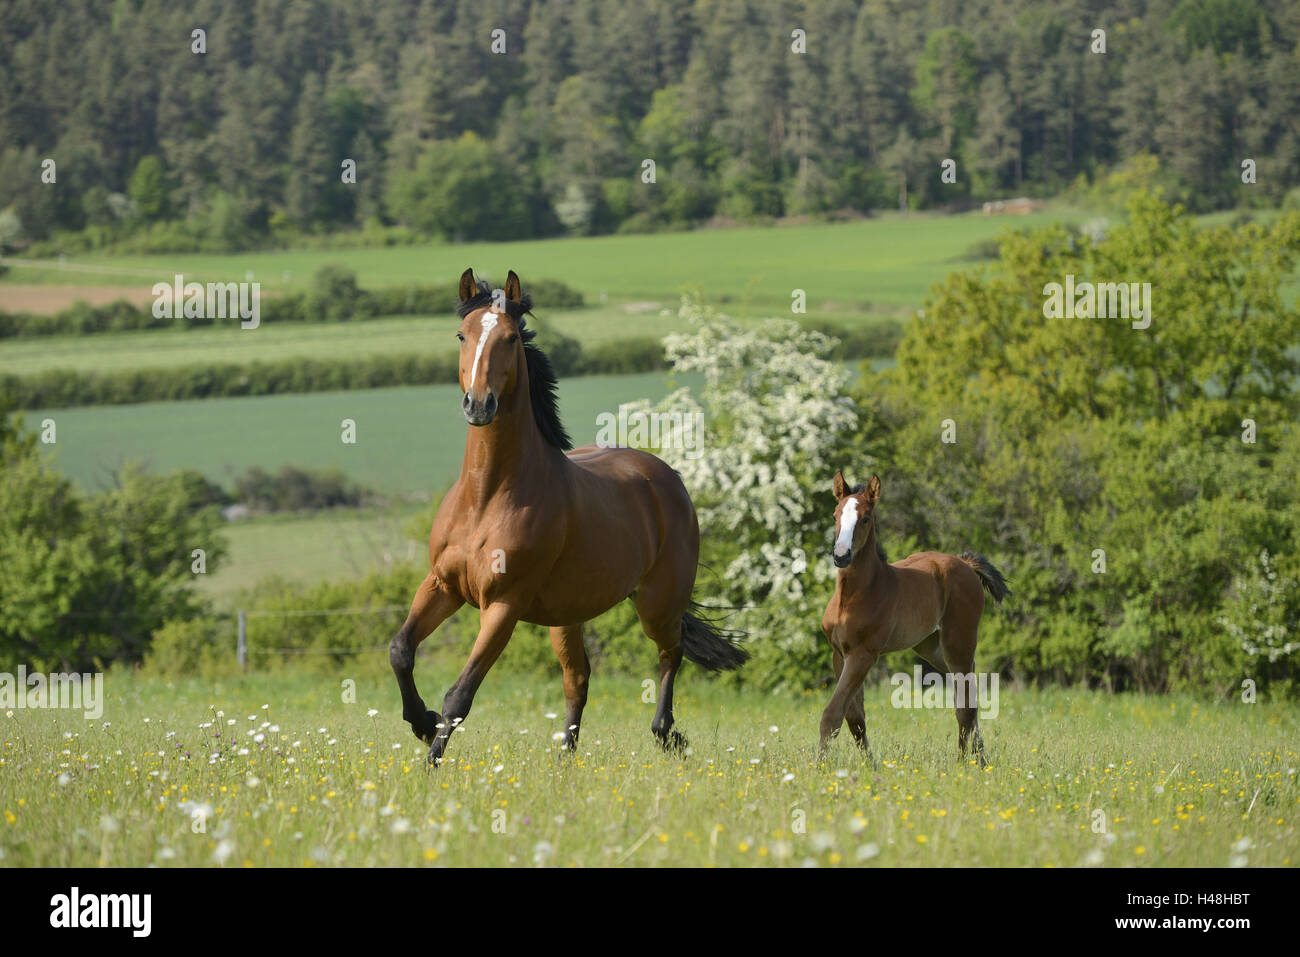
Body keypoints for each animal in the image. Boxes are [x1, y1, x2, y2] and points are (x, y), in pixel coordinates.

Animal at [389, 268, 748, 766]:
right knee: (578, 679)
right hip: (567, 616)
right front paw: (421, 724)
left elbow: (460, 694)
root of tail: (667, 477)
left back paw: (666, 734)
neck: (487, 497)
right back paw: (565, 760)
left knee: (669, 654)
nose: (478, 405)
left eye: (509, 338)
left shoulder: (503, 605)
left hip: (656, 603)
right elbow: (401, 650)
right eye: (462, 335)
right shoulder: (444, 585)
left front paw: (431, 761)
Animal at [819, 470, 1009, 765]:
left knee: (965, 705)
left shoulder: (863, 654)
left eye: (865, 518)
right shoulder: (840, 654)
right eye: (835, 514)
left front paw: (817, 766)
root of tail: (964, 563)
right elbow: (855, 718)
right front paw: (871, 766)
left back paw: (963, 764)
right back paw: (980, 759)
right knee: (967, 691)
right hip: (930, 646)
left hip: (958, 641)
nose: (841, 556)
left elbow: (832, 715)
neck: (855, 595)